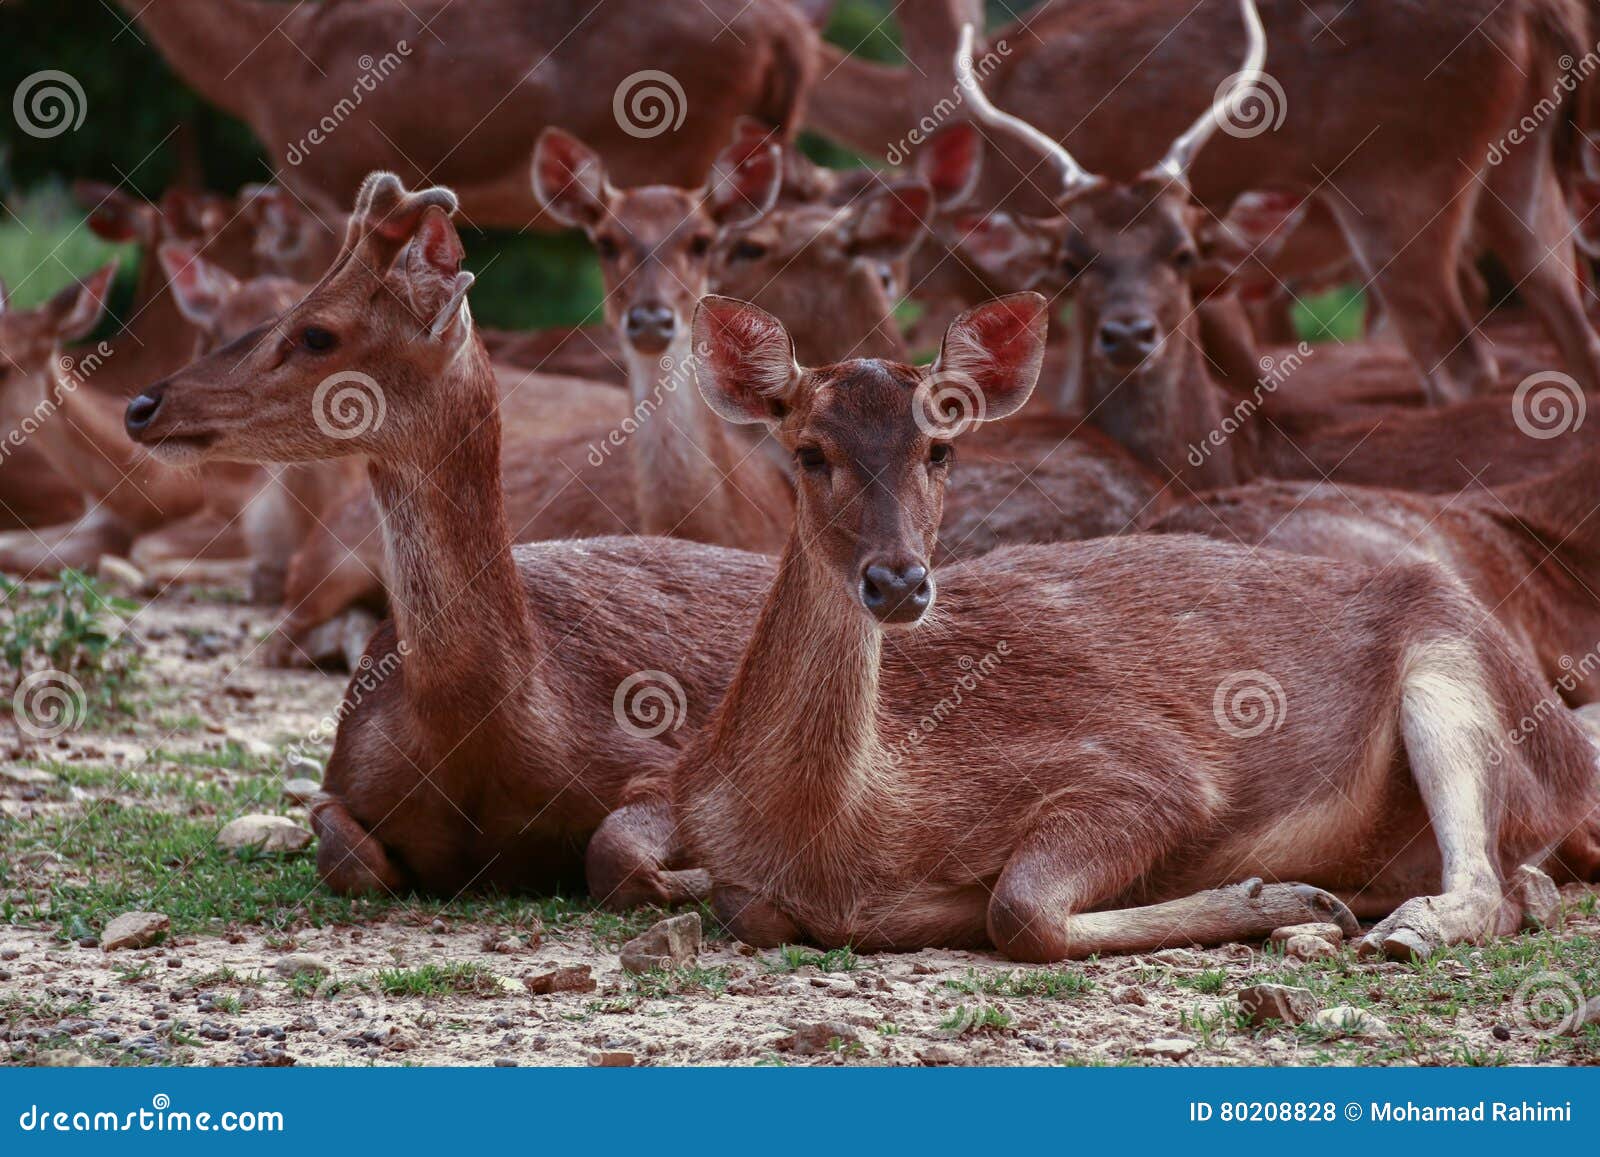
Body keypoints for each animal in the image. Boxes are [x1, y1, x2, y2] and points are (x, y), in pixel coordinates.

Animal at [125, 172, 783, 902]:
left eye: (317, 333)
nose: (142, 405)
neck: (476, 730)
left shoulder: (659, 754)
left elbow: (612, 852)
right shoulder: (343, 768)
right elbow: (349, 857)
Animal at [608, 290, 1600, 963]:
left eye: (942, 448)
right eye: (809, 452)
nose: (898, 581)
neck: (837, 834)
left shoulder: (1142, 771)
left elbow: (1020, 909)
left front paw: (1278, 899)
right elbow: (747, 906)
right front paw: (1292, 899)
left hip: (1456, 658)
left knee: (1481, 883)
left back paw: (1382, 925)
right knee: (1512, 882)